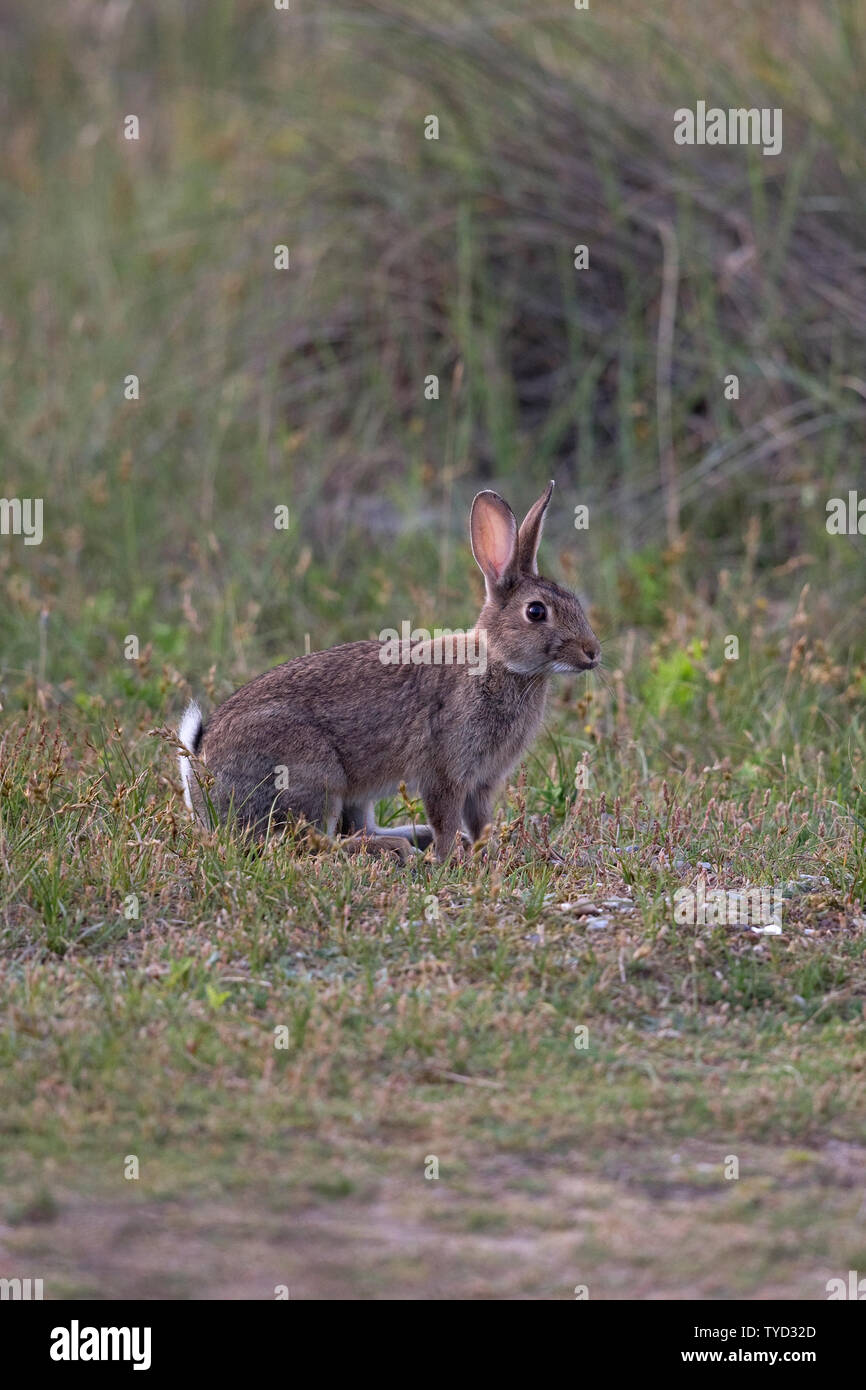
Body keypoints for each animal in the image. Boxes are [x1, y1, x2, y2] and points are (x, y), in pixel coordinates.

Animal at [177, 480, 600, 861]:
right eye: (536, 611)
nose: (592, 652)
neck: (497, 662)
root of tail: (200, 773)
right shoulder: (445, 771)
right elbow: (447, 818)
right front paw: (452, 859)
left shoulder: (482, 782)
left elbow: (479, 821)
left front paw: (487, 853)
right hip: (313, 776)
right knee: (312, 843)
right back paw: (396, 848)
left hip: (352, 793)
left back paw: (411, 837)